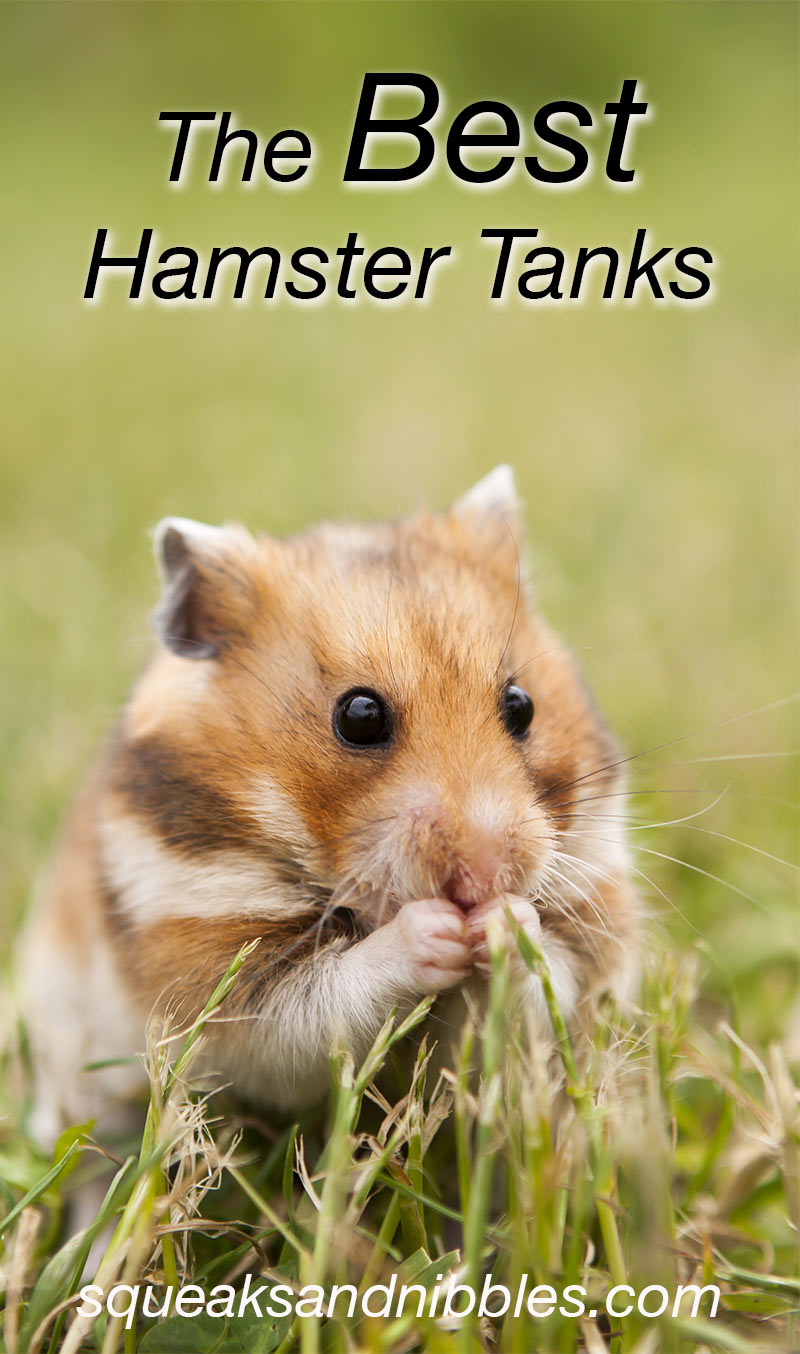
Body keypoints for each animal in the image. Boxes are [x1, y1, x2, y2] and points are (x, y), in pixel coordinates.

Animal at [19, 467, 637, 1145]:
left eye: (522, 705)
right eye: (359, 716)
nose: (484, 878)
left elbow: (544, 991)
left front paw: (501, 923)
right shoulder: (218, 975)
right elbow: (323, 1003)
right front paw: (438, 931)